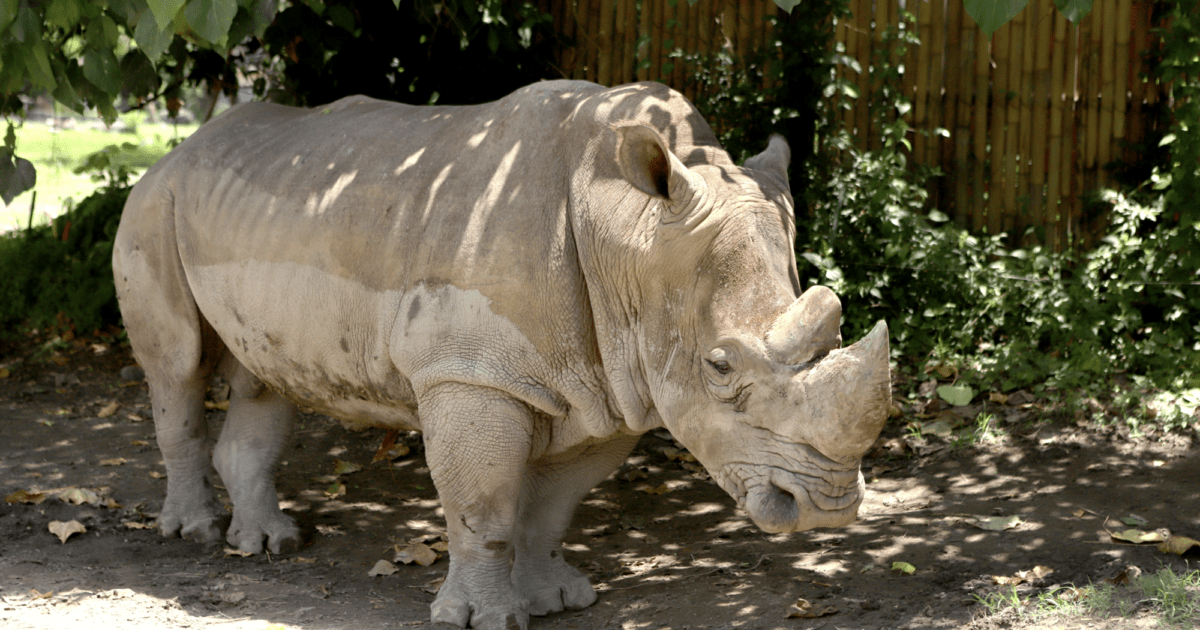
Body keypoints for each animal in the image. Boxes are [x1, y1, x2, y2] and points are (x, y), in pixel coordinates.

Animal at [112, 80, 891, 630]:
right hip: (153, 203)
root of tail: (178, 148)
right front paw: (484, 619)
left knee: (264, 378)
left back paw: (269, 543)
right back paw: (197, 533)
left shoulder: (607, 385)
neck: (631, 236)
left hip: (249, 210)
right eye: (720, 367)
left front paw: (560, 601)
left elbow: (551, 507)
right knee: (177, 366)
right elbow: (483, 502)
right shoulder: (469, 375)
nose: (823, 509)